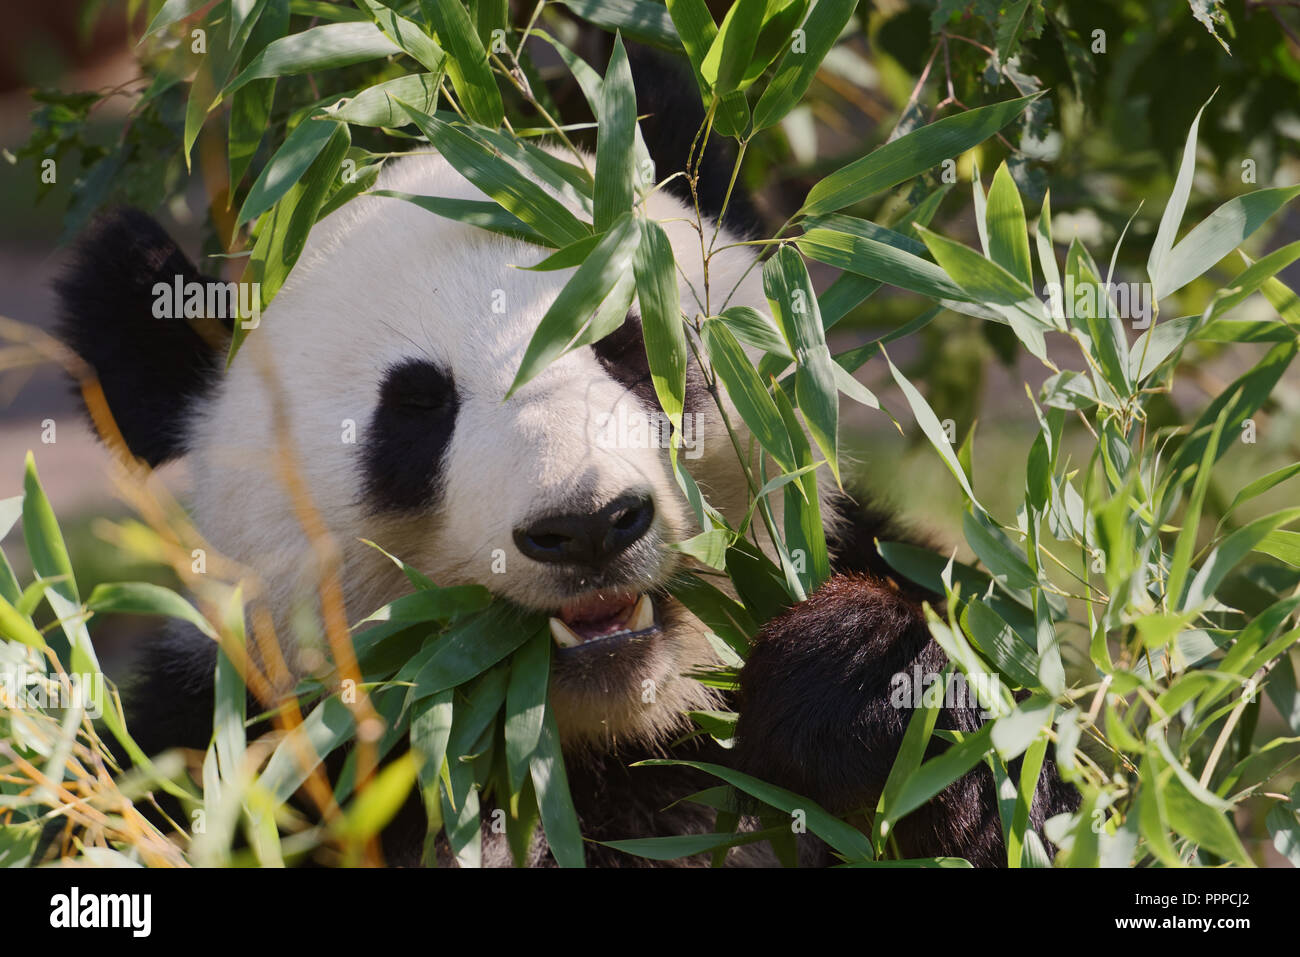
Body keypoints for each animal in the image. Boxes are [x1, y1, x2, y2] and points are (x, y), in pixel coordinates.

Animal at [53, 55, 1077, 868]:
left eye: (630, 343)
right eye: (416, 408)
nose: (587, 525)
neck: (598, 742)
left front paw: (861, 677)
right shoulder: (230, 751)